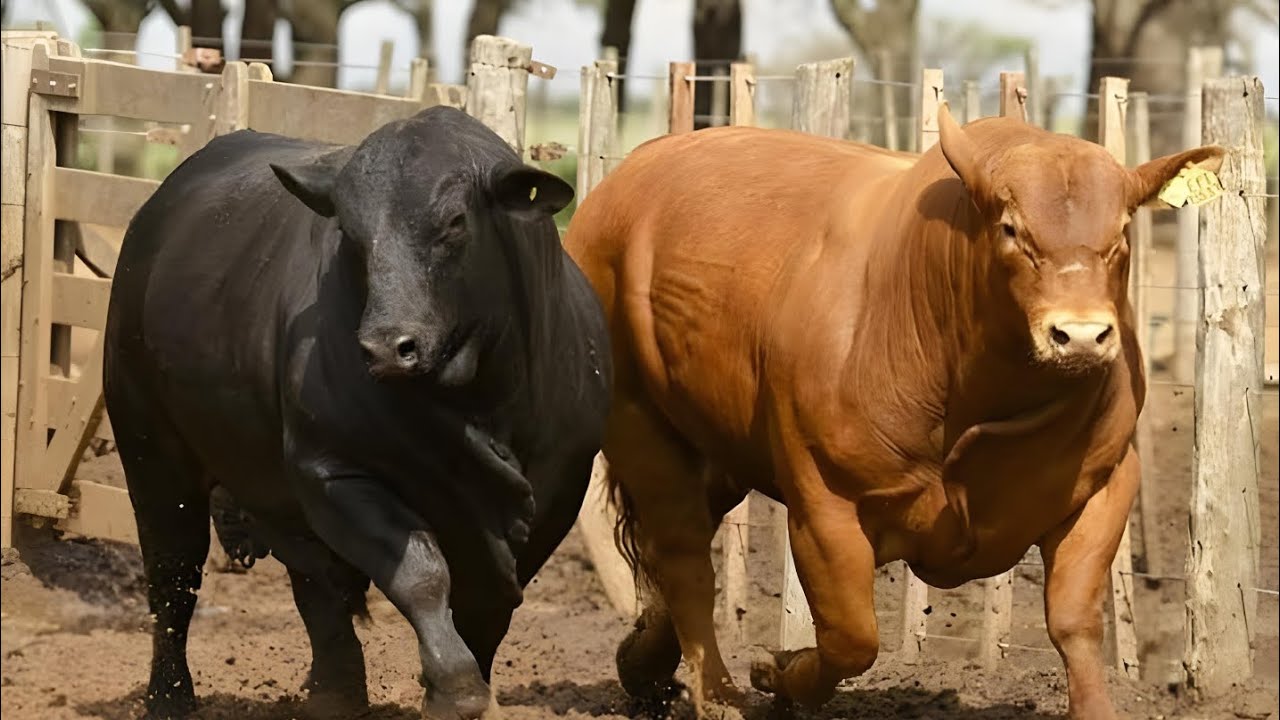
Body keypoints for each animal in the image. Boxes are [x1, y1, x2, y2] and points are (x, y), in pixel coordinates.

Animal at [104, 105, 611, 720]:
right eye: (350, 230)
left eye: (455, 222)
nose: (387, 346)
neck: (480, 400)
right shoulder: (333, 473)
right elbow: (421, 575)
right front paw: (456, 688)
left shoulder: (559, 490)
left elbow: (491, 601)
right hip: (152, 450)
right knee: (174, 575)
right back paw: (171, 696)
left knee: (315, 584)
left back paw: (335, 691)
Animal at [562, 103, 1222, 719]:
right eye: (1011, 228)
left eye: (1123, 231)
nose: (1080, 335)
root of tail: (624, 182)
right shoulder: (824, 503)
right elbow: (850, 637)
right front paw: (778, 674)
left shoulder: (1106, 484)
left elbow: (1074, 622)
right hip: (637, 421)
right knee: (684, 554)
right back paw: (719, 693)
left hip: (717, 448)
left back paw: (644, 663)